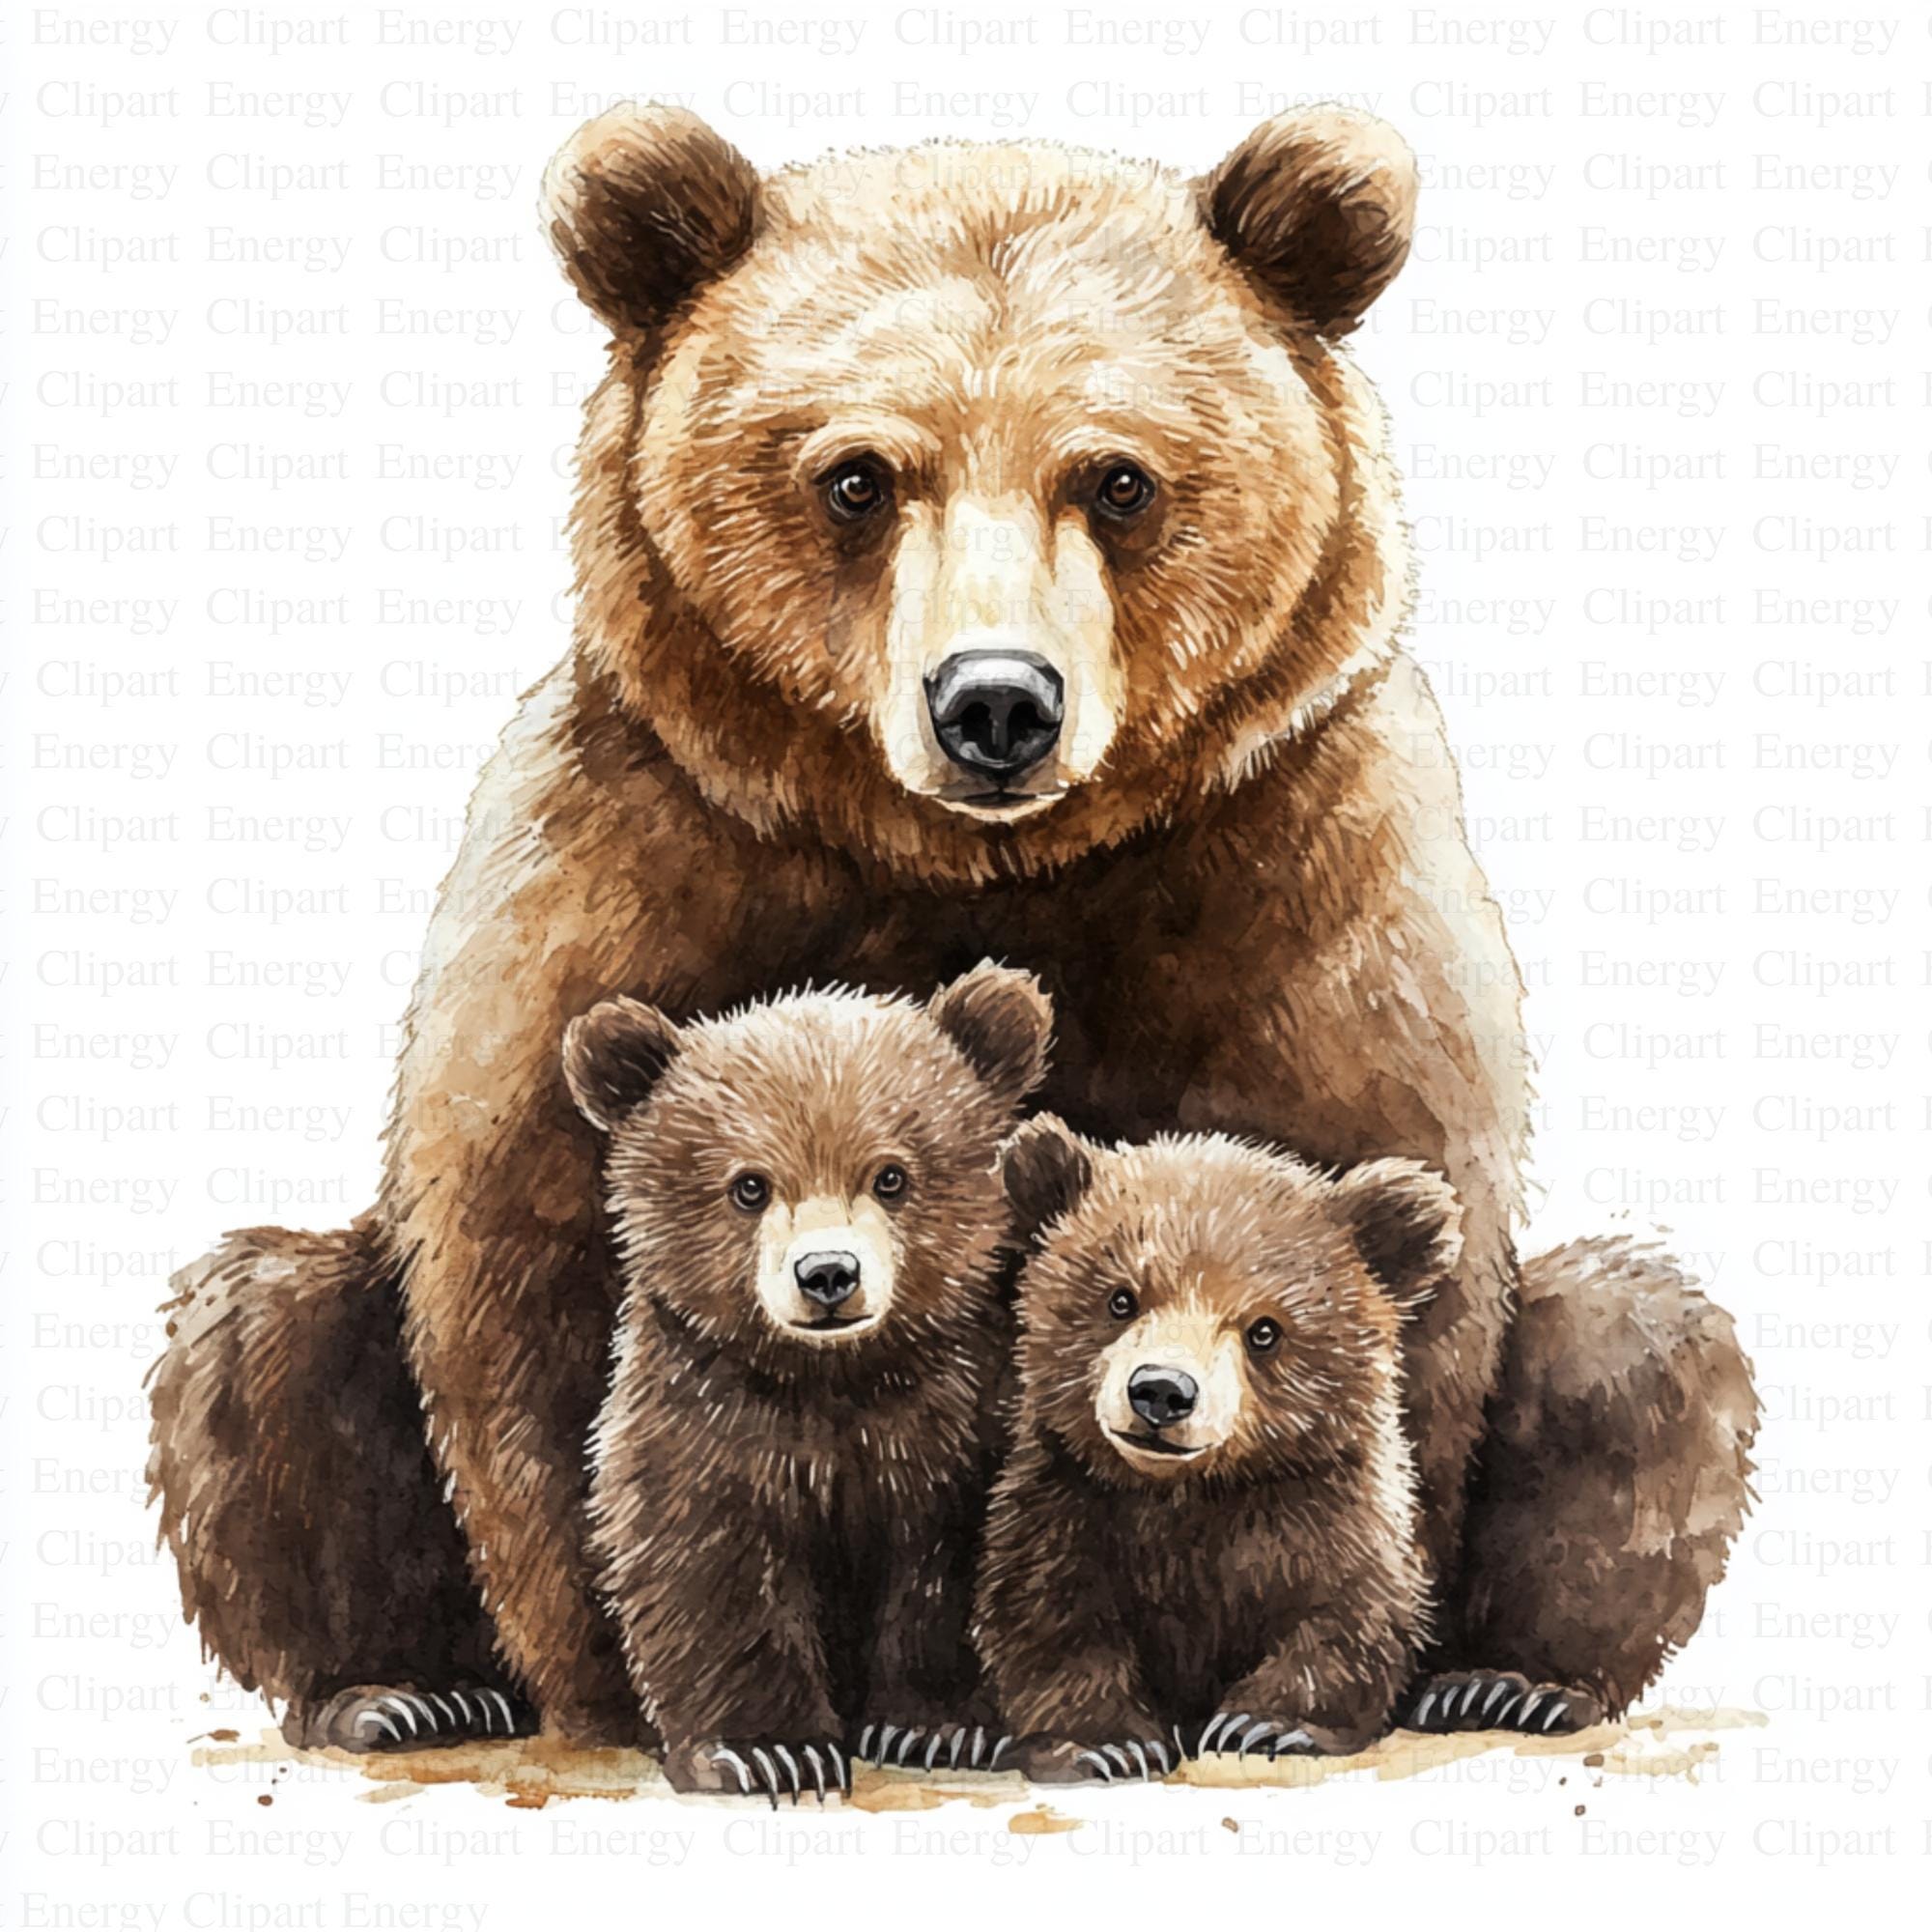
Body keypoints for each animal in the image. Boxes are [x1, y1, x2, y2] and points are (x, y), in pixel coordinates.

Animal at [563, 965, 1051, 1800]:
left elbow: (946, 1570)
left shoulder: (951, 1417)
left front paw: (941, 1727)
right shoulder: (705, 1414)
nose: (828, 1274)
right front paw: (767, 1749)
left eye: (891, 1175)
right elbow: (707, 1566)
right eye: (749, 1185)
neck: (832, 1379)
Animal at [975, 1120, 1448, 1782]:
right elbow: (1050, 1621)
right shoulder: (1066, 1509)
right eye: (1121, 1298)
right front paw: (1103, 1744)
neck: (1191, 1492)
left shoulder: (1324, 1514)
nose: (1161, 1391)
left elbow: (1346, 1617)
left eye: (1265, 1329)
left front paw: (1264, 1724)